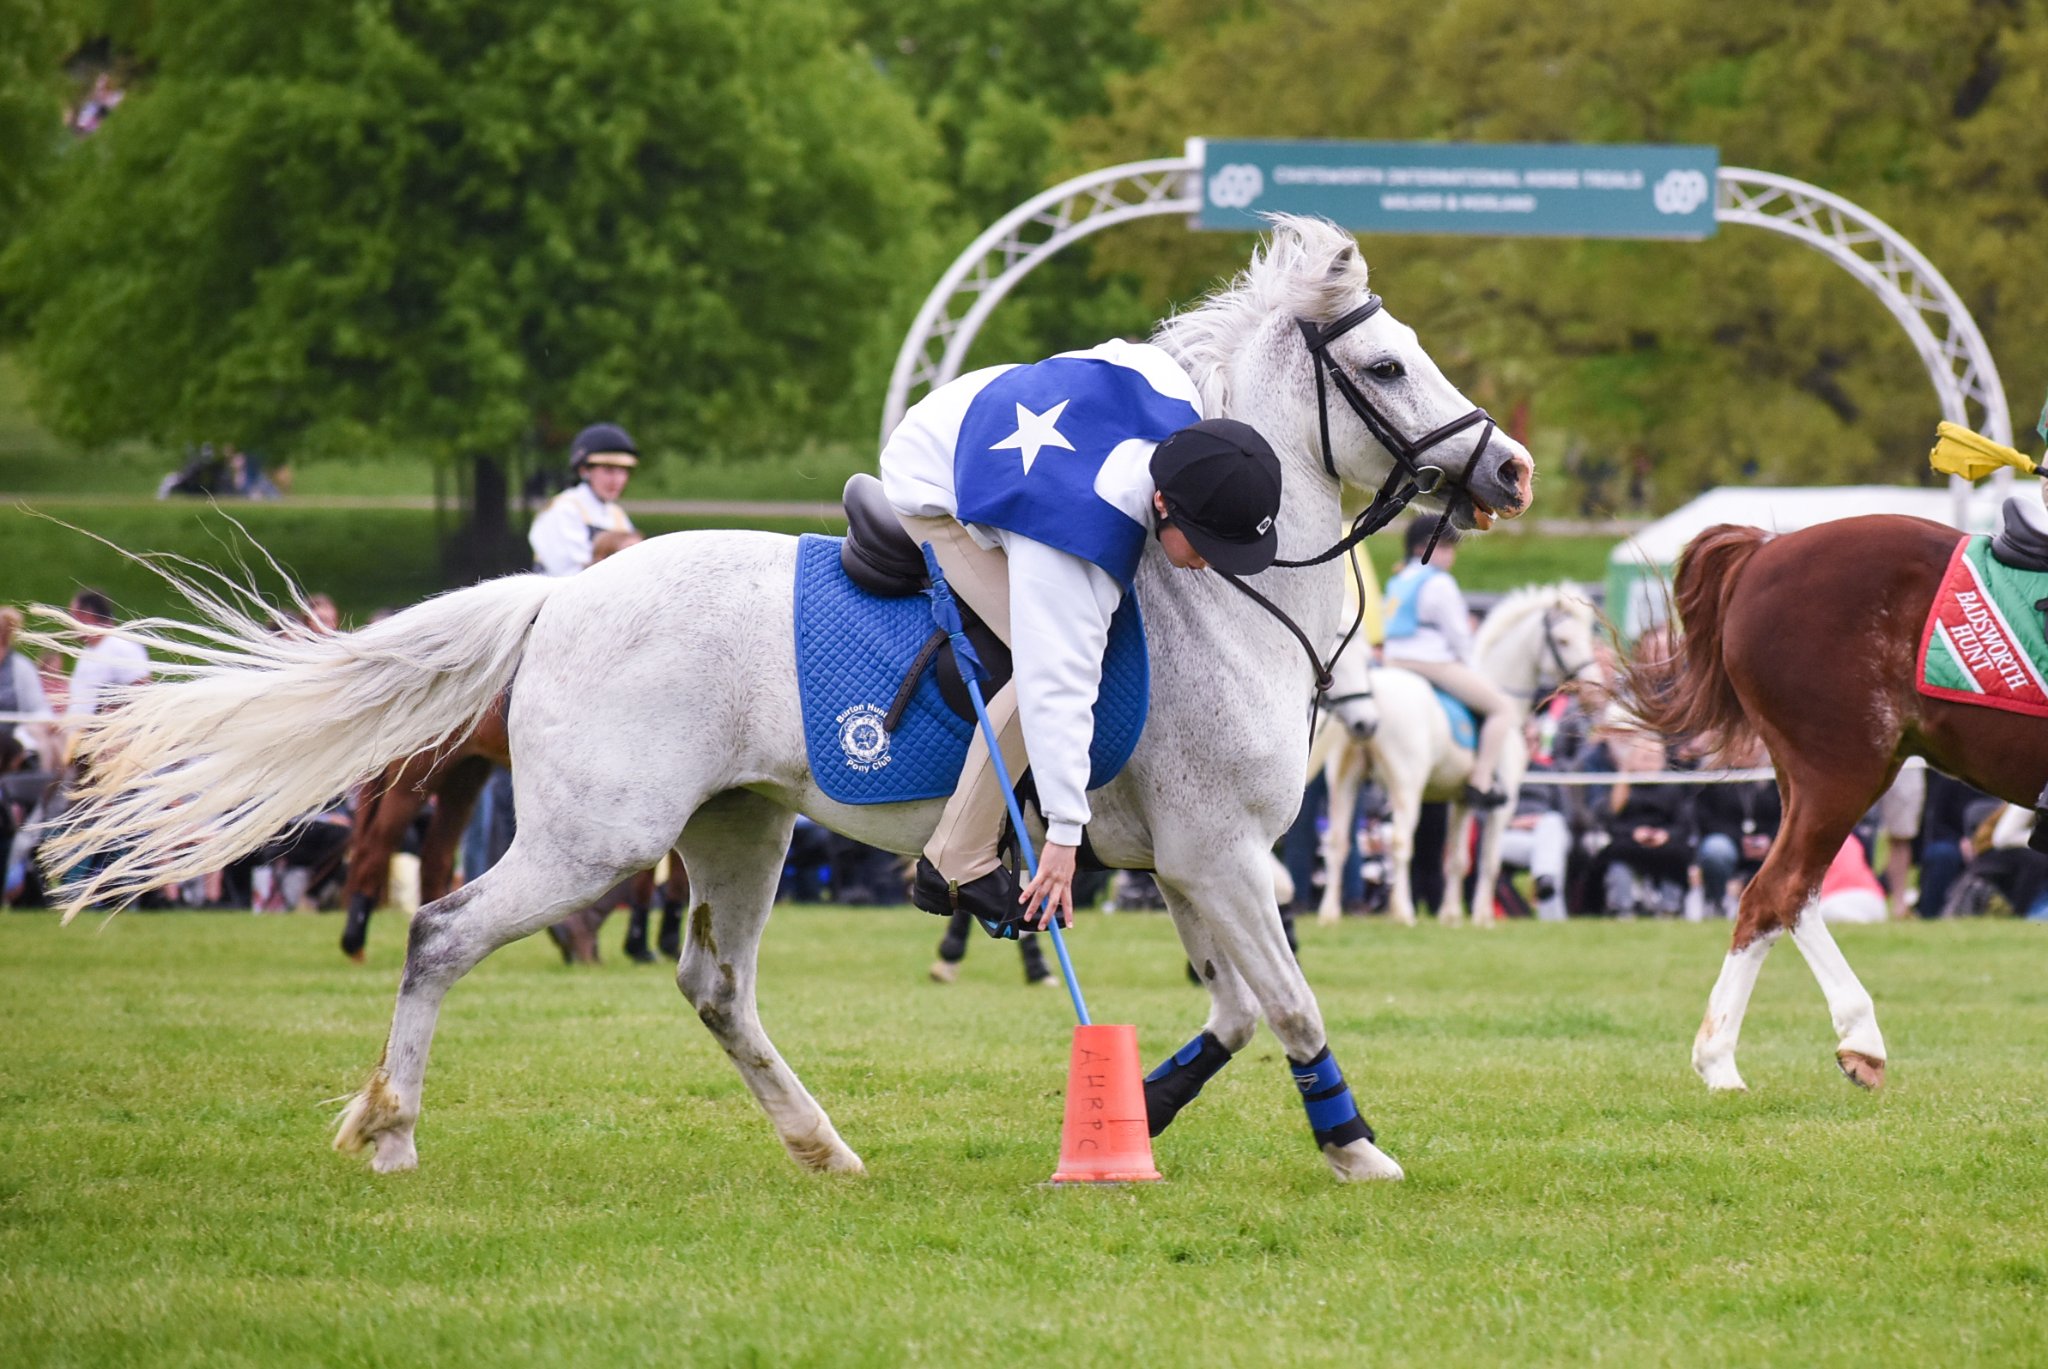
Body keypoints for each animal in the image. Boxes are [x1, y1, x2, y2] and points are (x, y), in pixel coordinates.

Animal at [35, 215, 1534, 1183]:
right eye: (1386, 367)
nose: (1511, 470)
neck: (1215, 585)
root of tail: (559, 599)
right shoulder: (1215, 852)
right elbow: (1288, 1007)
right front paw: (1350, 1143)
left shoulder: (1182, 863)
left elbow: (1231, 1010)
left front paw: (1142, 1115)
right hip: (599, 837)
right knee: (445, 931)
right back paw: (392, 1129)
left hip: (743, 828)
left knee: (714, 984)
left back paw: (822, 1145)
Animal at [1313, 585, 1598, 925]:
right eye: (1564, 640)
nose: (1592, 685)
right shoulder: (1503, 804)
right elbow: (1489, 861)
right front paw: (1483, 917)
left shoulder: (1462, 800)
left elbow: (1458, 859)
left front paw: (1450, 915)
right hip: (1406, 787)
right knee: (1399, 843)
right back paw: (1403, 912)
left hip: (1345, 782)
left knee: (1337, 843)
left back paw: (1329, 914)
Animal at [1626, 513, 2048, 1093]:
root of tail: (1767, 548)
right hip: (1841, 772)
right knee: (1784, 888)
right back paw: (1851, 1039)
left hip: (1805, 780)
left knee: (1768, 903)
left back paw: (1719, 1060)